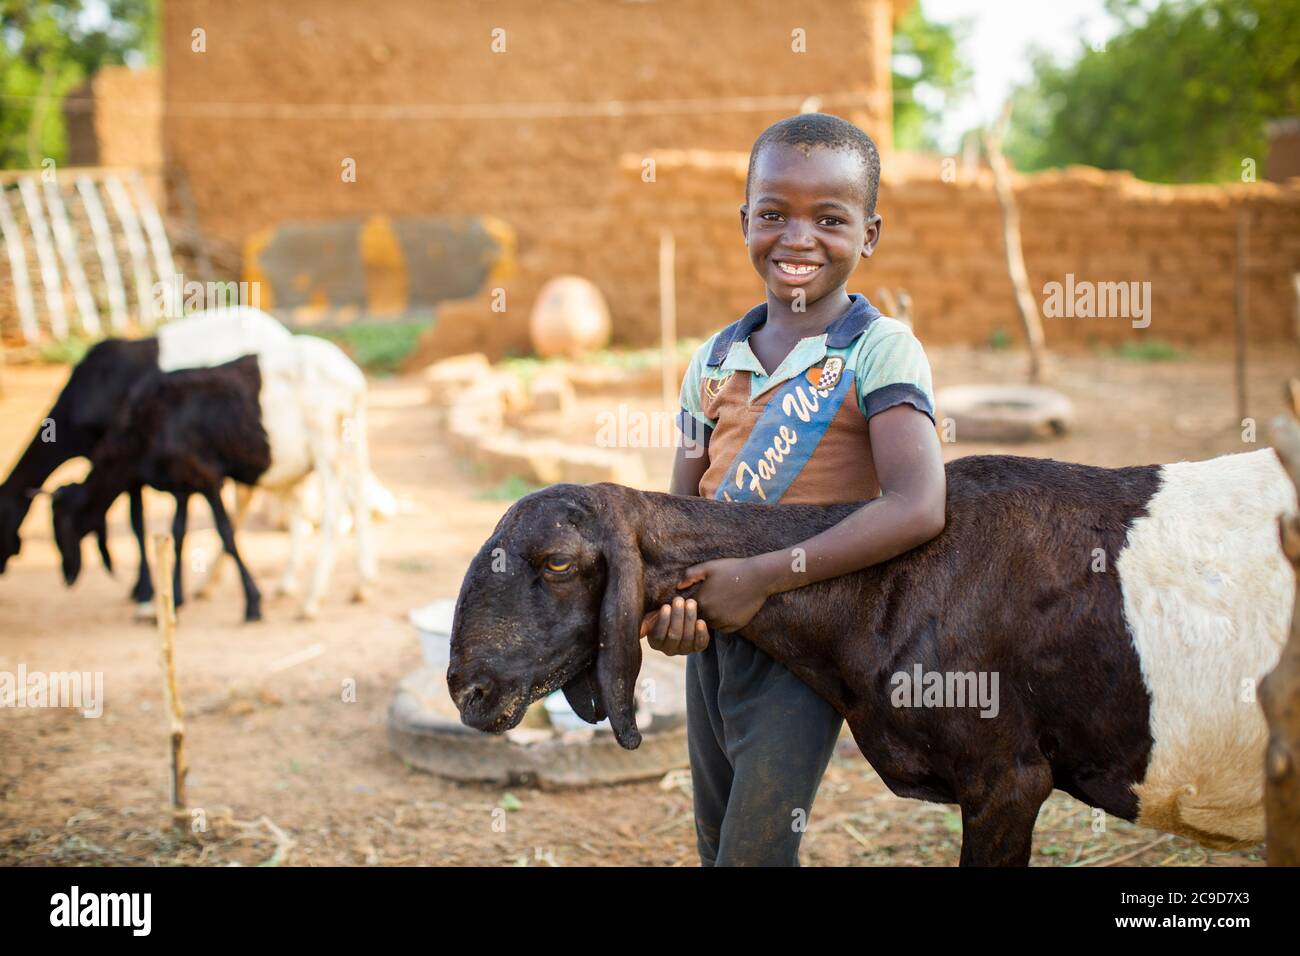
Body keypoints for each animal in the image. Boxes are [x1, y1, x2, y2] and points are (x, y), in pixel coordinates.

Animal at [52, 356, 271, 622]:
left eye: (63, 522)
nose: (66, 574)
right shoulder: (184, 485)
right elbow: (177, 533)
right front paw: (174, 599)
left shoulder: (206, 479)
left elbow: (225, 533)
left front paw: (253, 603)